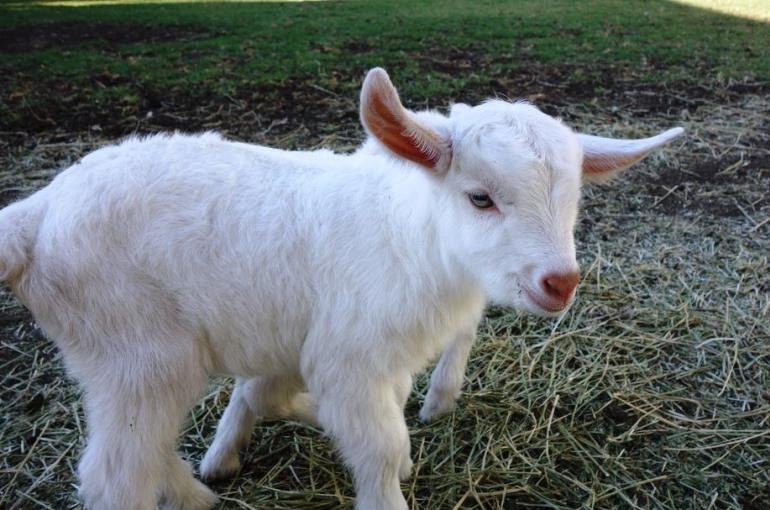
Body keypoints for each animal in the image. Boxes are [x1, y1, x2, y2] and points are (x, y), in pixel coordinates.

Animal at [0, 68, 683, 509]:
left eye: (573, 199)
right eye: (480, 198)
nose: (559, 283)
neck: (411, 237)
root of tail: (36, 216)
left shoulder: (368, 353)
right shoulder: (349, 357)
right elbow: (377, 446)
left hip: (130, 363)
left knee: (144, 449)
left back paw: (200, 493)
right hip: (137, 351)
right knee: (115, 475)